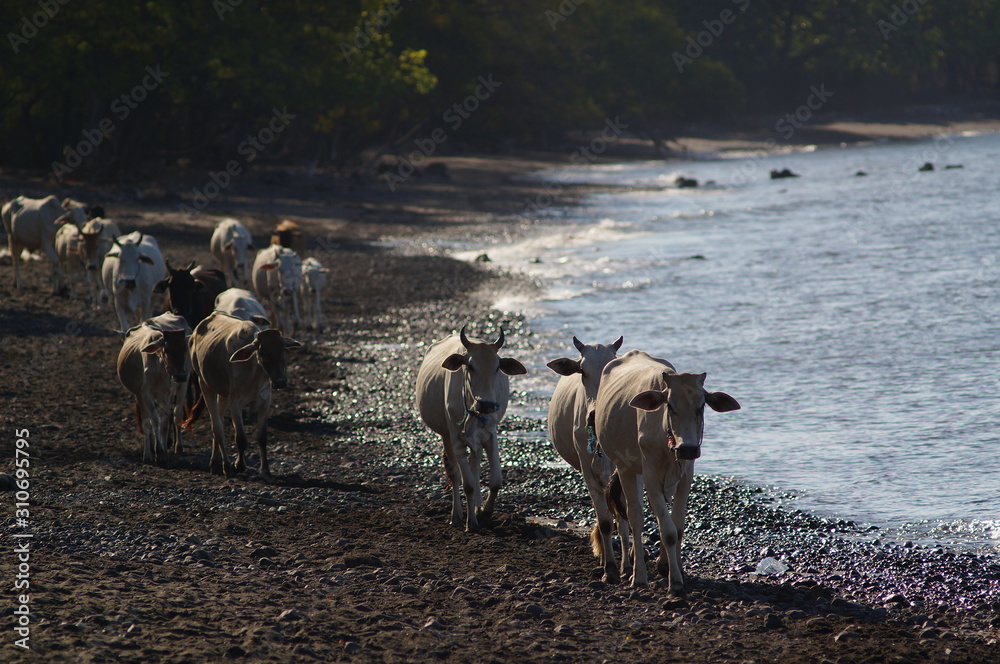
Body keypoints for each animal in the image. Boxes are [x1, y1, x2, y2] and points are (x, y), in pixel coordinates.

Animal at [117, 312, 192, 465]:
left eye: (185, 349)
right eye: (167, 349)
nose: (180, 375)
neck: (159, 367)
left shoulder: (167, 393)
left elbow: (164, 422)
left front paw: (162, 452)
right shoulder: (144, 394)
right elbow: (152, 421)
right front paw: (154, 452)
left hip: (182, 386)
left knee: (177, 414)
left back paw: (178, 446)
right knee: (151, 420)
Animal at [187, 311, 300, 481]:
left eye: (283, 350)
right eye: (262, 352)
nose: (280, 382)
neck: (254, 371)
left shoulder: (265, 402)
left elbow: (262, 437)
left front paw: (265, 470)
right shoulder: (235, 402)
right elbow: (240, 438)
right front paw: (239, 465)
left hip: (223, 393)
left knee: (218, 423)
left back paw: (215, 463)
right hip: (205, 385)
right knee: (217, 427)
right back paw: (226, 466)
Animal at [415, 326, 527, 532]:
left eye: (497, 367)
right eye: (470, 366)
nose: (487, 404)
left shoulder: (490, 435)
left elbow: (495, 481)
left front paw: (483, 512)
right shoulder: (455, 438)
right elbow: (468, 484)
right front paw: (471, 522)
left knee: (475, 467)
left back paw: (476, 506)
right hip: (446, 437)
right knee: (455, 473)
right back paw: (457, 515)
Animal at [546, 335, 631, 581]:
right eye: (582, 371)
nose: (593, 415)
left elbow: (625, 519)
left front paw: (626, 566)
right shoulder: (588, 471)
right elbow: (605, 522)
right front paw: (610, 568)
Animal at [594, 350, 740, 593]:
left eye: (701, 406)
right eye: (670, 405)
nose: (688, 448)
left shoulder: (686, 475)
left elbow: (677, 527)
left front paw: (676, 569)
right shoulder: (650, 474)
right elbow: (668, 531)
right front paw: (675, 582)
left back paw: (662, 565)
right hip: (625, 468)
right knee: (635, 517)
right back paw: (638, 575)